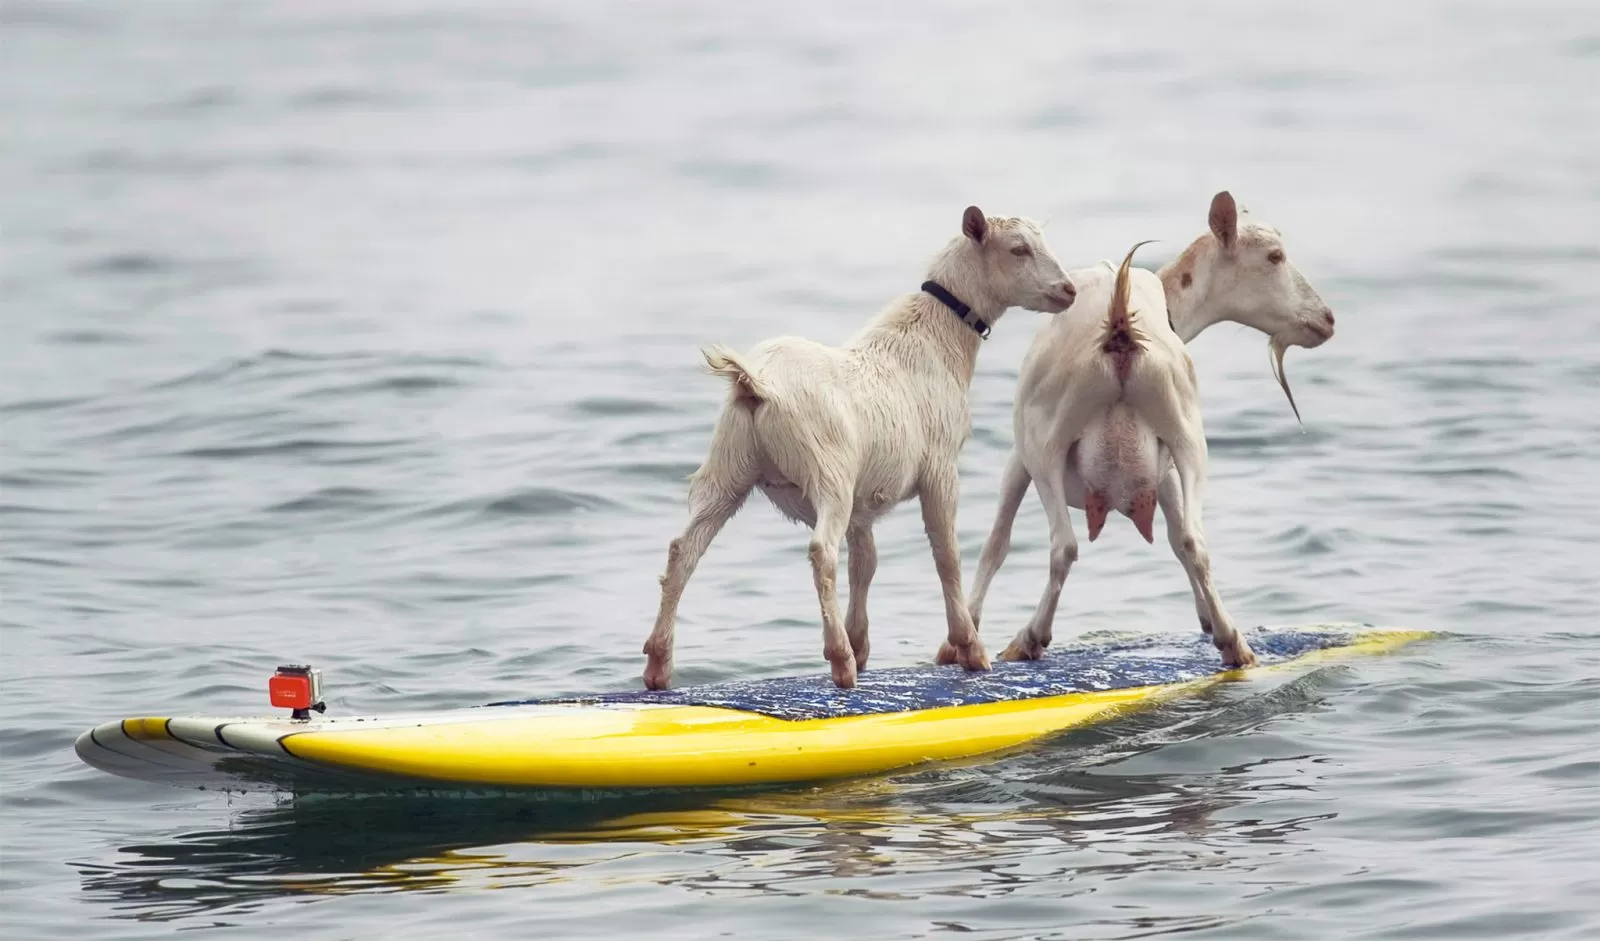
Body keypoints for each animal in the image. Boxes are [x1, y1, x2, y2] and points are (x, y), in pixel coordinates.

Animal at [646, 208, 1075, 691]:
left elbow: (866, 563)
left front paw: (862, 642)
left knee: (684, 549)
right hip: (826, 469)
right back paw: (840, 661)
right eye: (1018, 249)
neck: (936, 338)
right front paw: (968, 648)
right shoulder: (940, 468)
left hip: (729, 466)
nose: (1069, 291)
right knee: (821, 552)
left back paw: (658, 665)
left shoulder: (864, 497)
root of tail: (755, 385)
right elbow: (946, 555)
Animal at [953, 187, 1344, 665]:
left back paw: (1029, 638)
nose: (1326, 319)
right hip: (1186, 432)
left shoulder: (1019, 454)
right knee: (1194, 540)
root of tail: (1121, 327)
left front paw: (962, 636)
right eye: (1275, 256)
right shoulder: (1166, 465)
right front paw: (1206, 619)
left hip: (1045, 442)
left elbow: (996, 542)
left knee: (1064, 546)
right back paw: (1234, 643)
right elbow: (1178, 537)